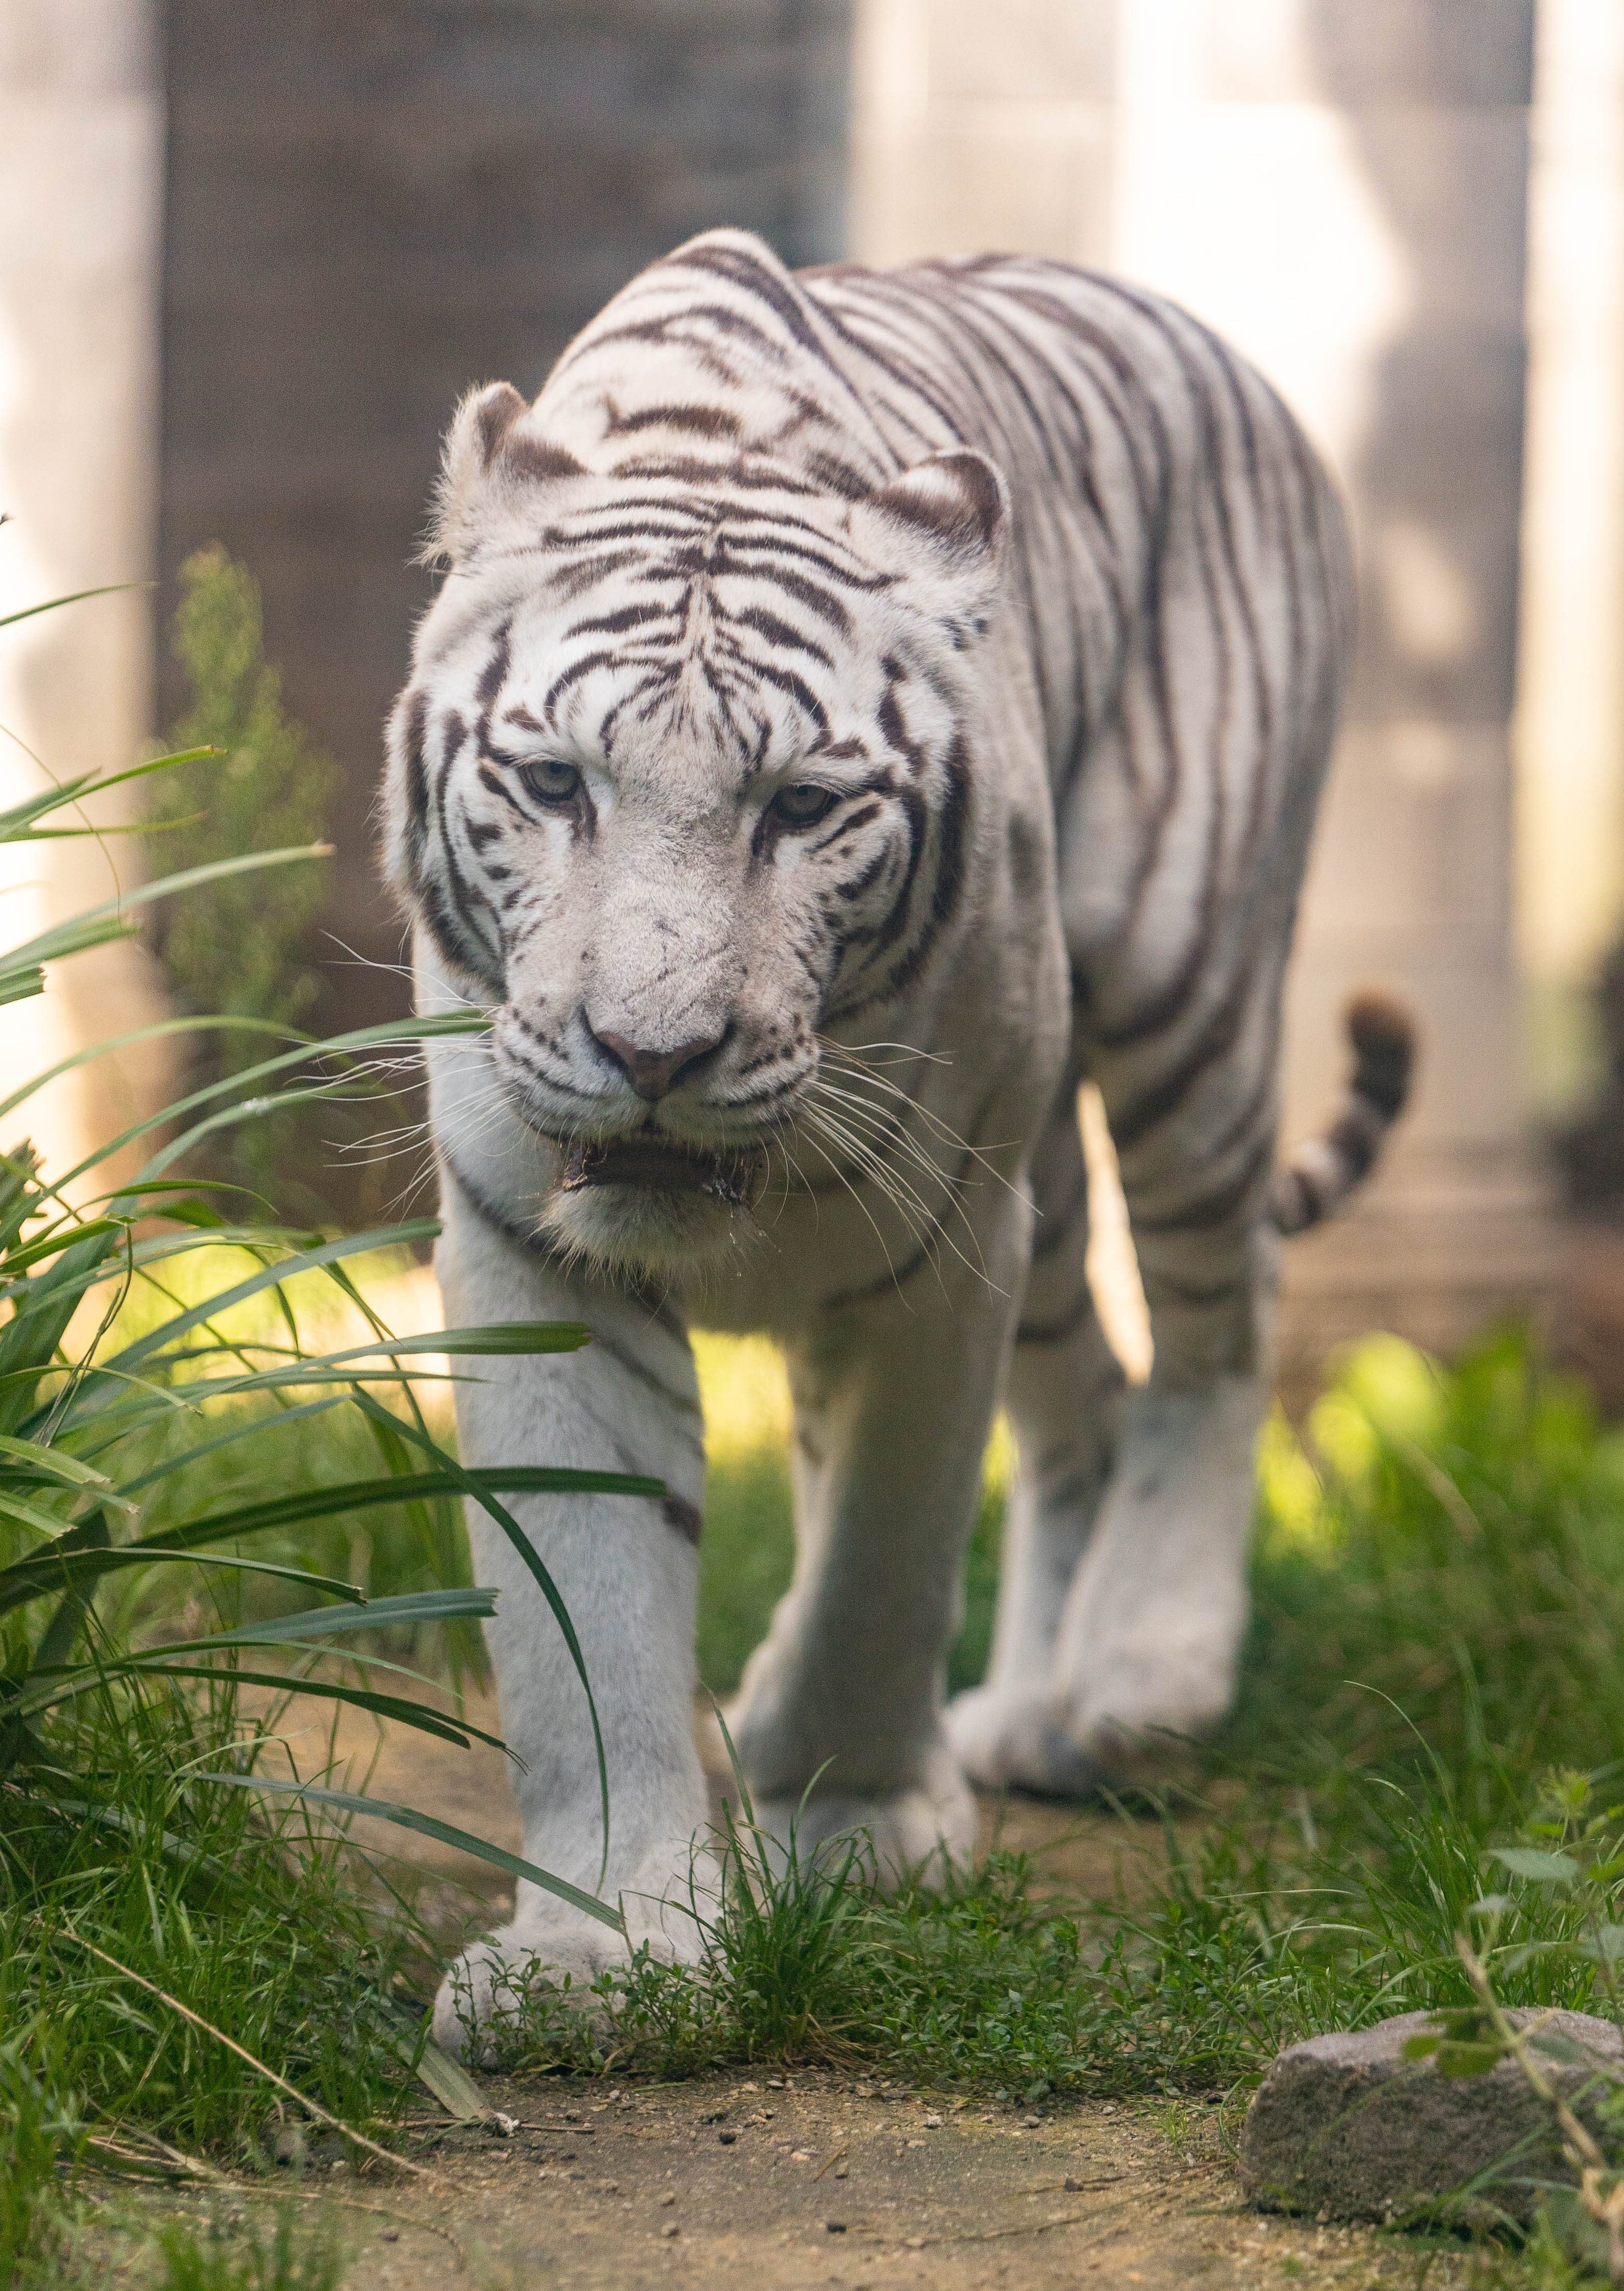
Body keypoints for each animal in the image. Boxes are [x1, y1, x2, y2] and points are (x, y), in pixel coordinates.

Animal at [383, 227, 1413, 2051]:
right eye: (557, 784)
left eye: (803, 808)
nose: (654, 1051)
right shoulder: (531, 1250)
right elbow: (586, 1619)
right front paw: (602, 1951)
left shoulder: (941, 1236)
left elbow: (882, 1549)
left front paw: (848, 1814)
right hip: (1055, 1190)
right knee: (1089, 1400)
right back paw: (1034, 1711)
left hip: (1184, 1001)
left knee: (1220, 1327)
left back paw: (1142, 1671)